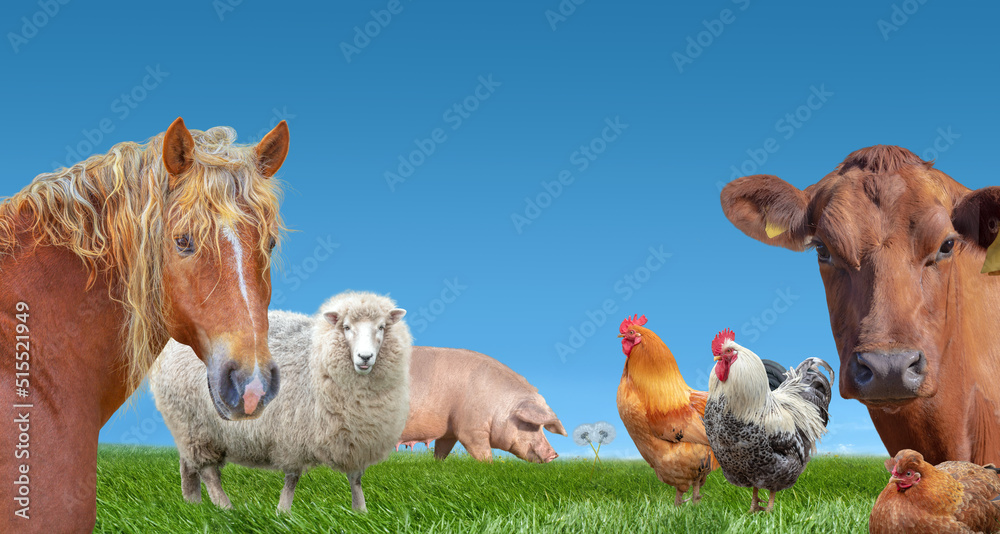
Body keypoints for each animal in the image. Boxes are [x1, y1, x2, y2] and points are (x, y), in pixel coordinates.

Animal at [149, 290, 411, 513]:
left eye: (381, 327)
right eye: (346, 327)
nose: (365, 357)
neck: (316, 359)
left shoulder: (355, 436)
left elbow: (355, 477)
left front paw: (361, 511)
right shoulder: (292, 431)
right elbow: (292, 477)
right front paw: (283, 512)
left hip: (188, 426)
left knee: (187, 465)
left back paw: (192, 503)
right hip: (194, 423)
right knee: (208, 471)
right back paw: (226, 509)